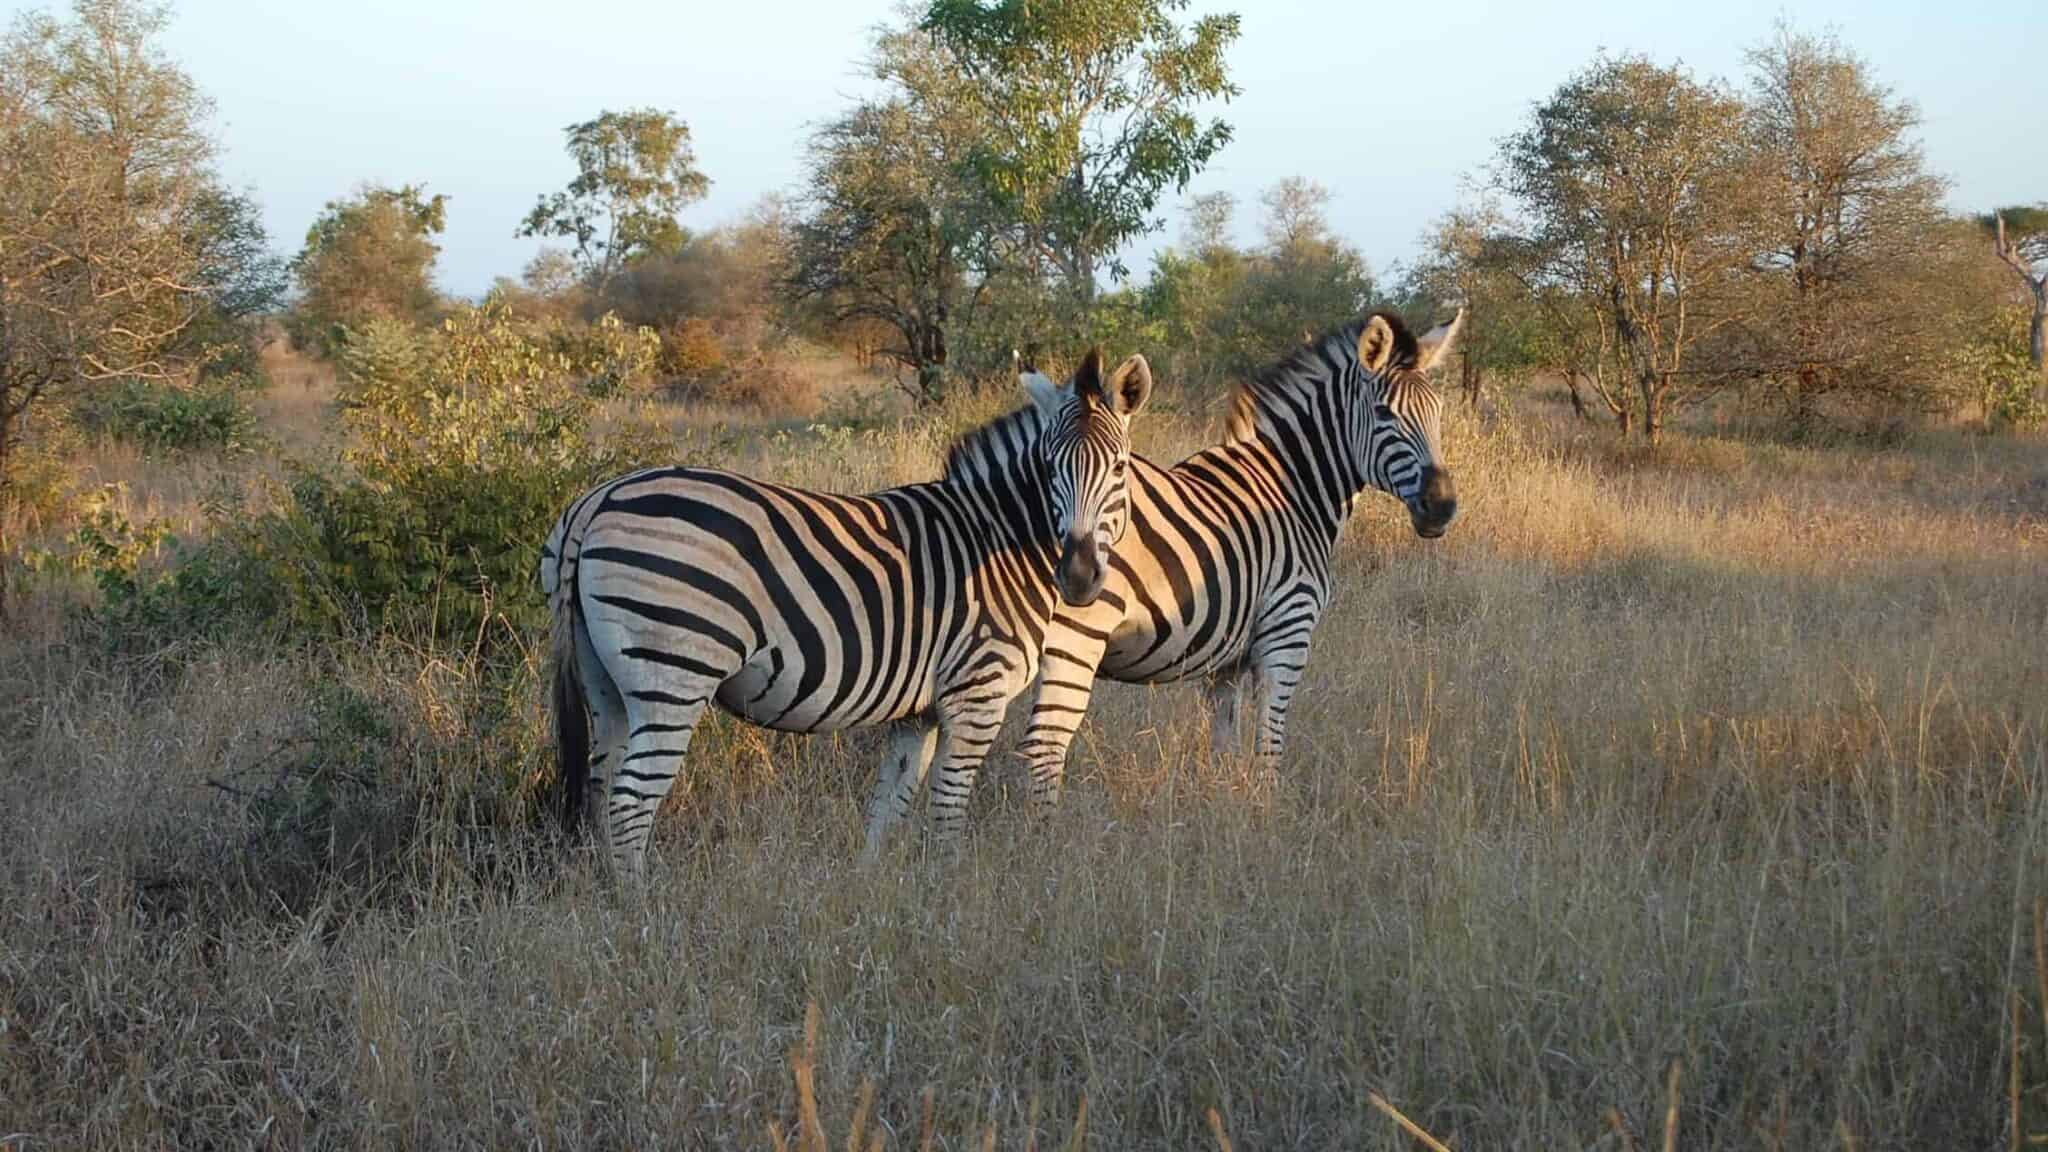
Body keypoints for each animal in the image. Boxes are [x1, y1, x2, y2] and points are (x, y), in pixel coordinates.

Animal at [541, 348, 1153, 873]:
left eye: (1119, 468)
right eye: (1049, 468)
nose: (1078, 578)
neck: (999, 535)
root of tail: (597, 500)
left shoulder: (920, 710)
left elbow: (890, 804)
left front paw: (874, 888)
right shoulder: (976, 693)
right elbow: (948, 807)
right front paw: (950, 889)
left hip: (605, 681)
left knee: (600, 789)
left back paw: (602, 898)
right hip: (673, 673)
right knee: (629, 804)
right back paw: (639, 911)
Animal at [860, 309, 1463, 830]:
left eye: (1438, 415)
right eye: (1384, 416)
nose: (1442, 507)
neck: (1292, 489)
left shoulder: (1227, 662)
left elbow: (1225, 744)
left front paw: (1225, 814)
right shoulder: (1286, 632)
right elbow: (1270, 742)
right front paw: (1267, 819)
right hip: (1076, 638)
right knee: (1045, 746)